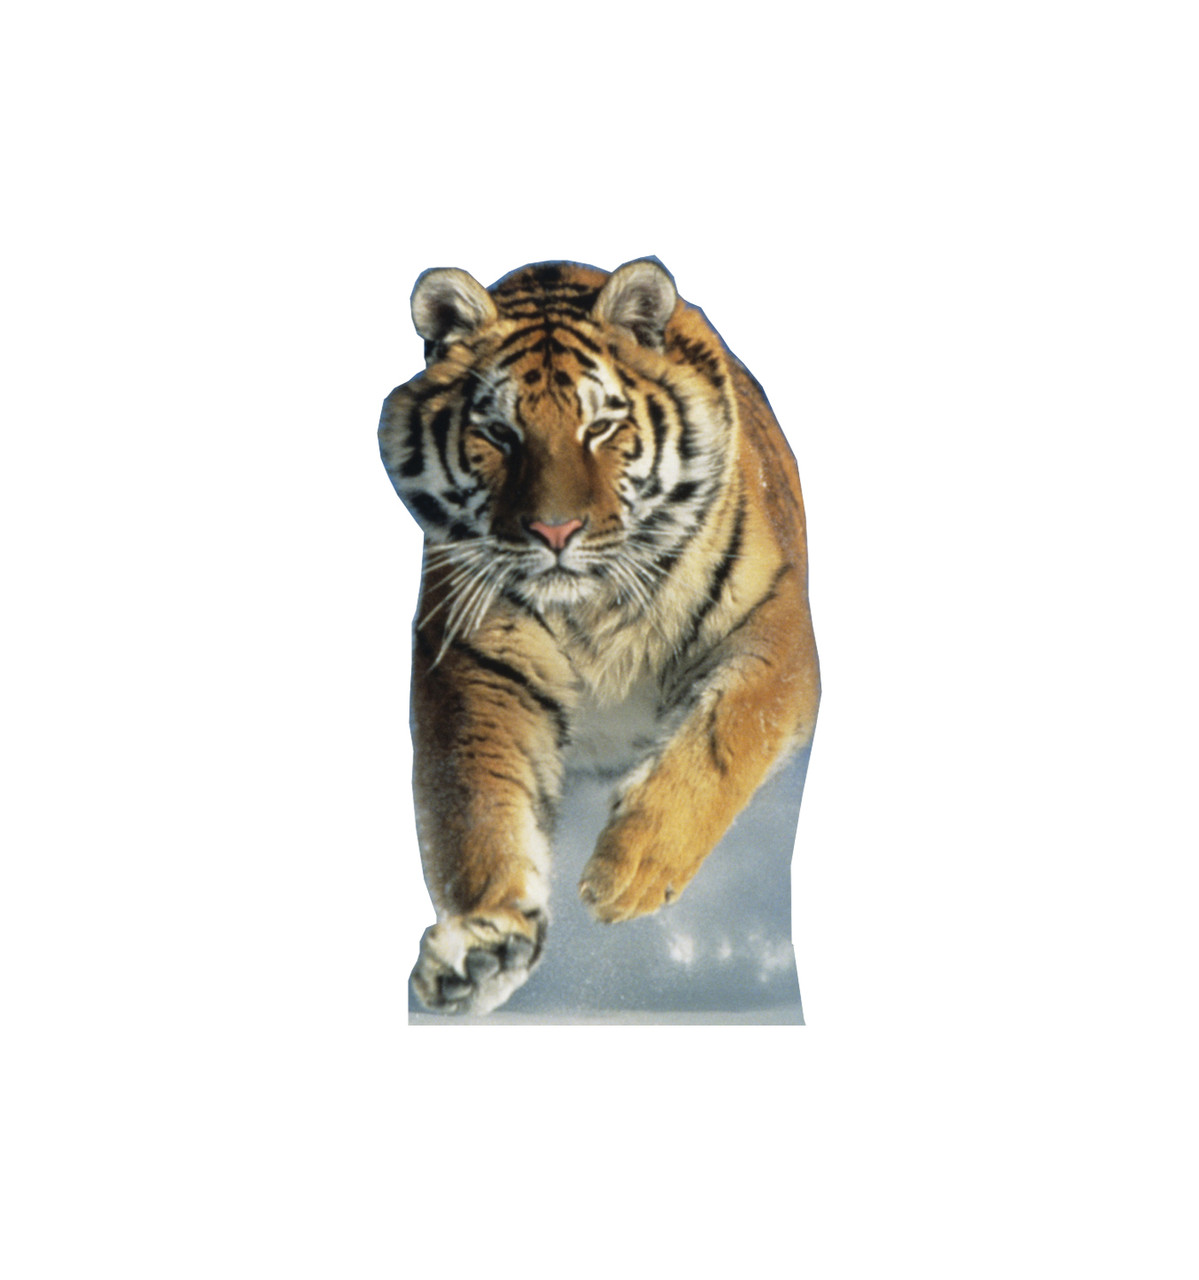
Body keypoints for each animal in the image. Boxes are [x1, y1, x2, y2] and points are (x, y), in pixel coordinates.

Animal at [378, 257, 819, 1015]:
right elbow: (476, 806)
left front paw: (631, 871)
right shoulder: (478, 662)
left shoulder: (775, 629)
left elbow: (727, 733)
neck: (594, 610)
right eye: (499, 433)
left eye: (601, 427)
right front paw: (482, 945)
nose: (554, 532)